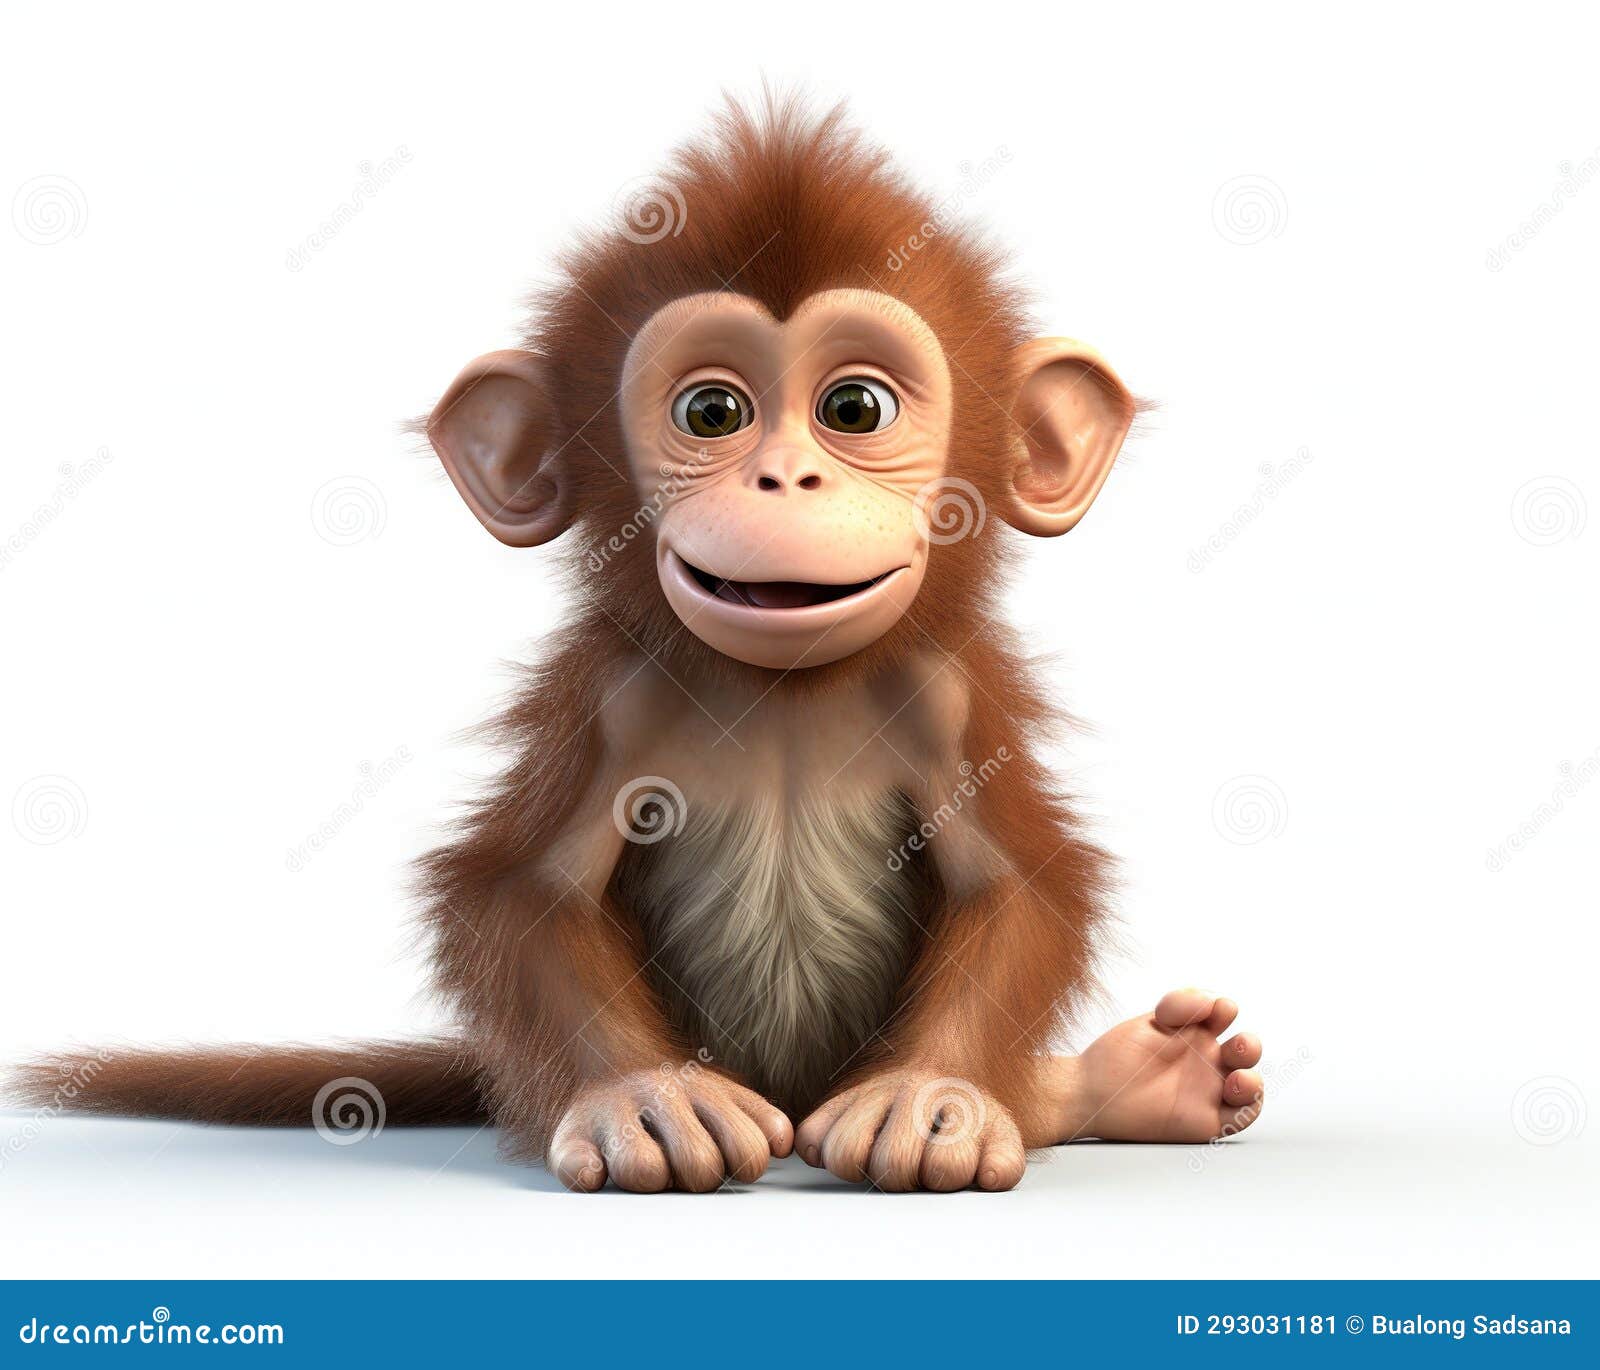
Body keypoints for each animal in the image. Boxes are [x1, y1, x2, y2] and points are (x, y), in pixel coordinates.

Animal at [11, 96, 1264, 1191]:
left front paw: (934, 1097)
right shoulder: (611, 693)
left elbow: (1014, 880)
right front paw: (642, 1096)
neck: (785, 685)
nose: (786, 478)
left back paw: (1121, 1084)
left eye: (854, 409)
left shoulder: (947, 691)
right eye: (711, 413)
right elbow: (525, 887)